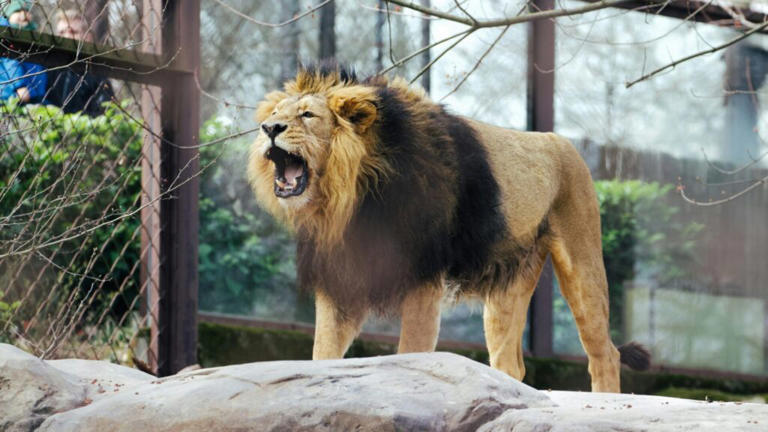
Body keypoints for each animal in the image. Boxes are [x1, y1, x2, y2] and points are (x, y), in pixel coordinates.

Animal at [248, 64, 650, 393]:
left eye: (307, 114)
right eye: (276, 114)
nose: (270, 129)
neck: (352, 195)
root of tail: (559, 139)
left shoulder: (424, 276)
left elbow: (411, 351)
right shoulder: (342, 278)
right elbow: (323, 351)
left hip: (582, 264)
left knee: (605, 352)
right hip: (509, 286)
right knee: (510, 363)